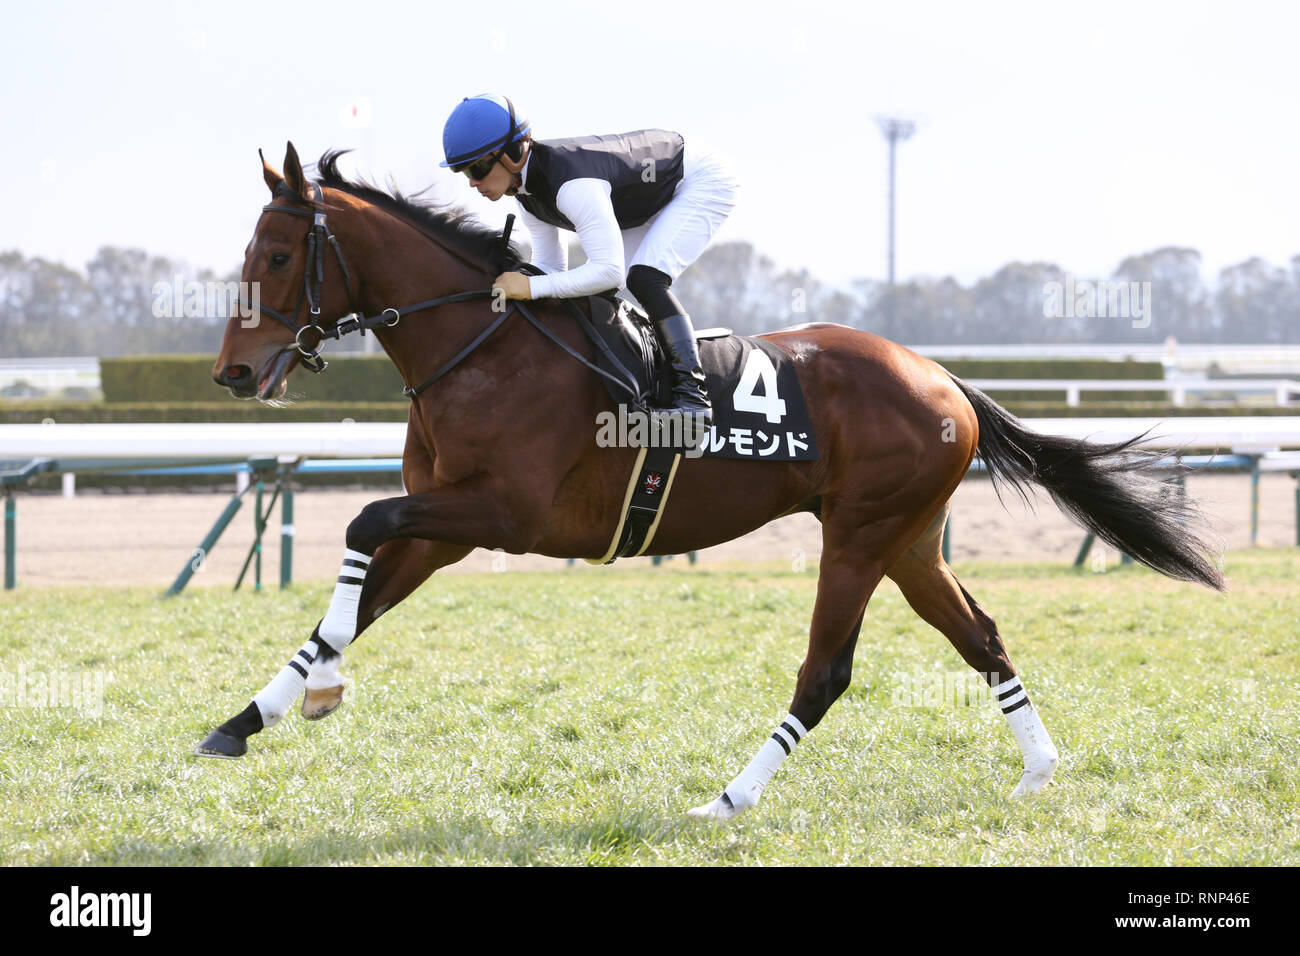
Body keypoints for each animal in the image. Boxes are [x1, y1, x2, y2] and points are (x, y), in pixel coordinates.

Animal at [198, 142, 1225, 819]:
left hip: (859, 535)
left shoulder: (502, 513)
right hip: (904, 539)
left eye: (277, 256)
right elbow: (360, 586)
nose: (234, 374)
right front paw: (254, 715)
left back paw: (728, 799)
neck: (481, 344)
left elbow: (362, 523)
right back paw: (1038, 771)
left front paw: (322, 685)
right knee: (980, 636)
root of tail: (944, 379)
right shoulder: (448, 528)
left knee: (826, 671)